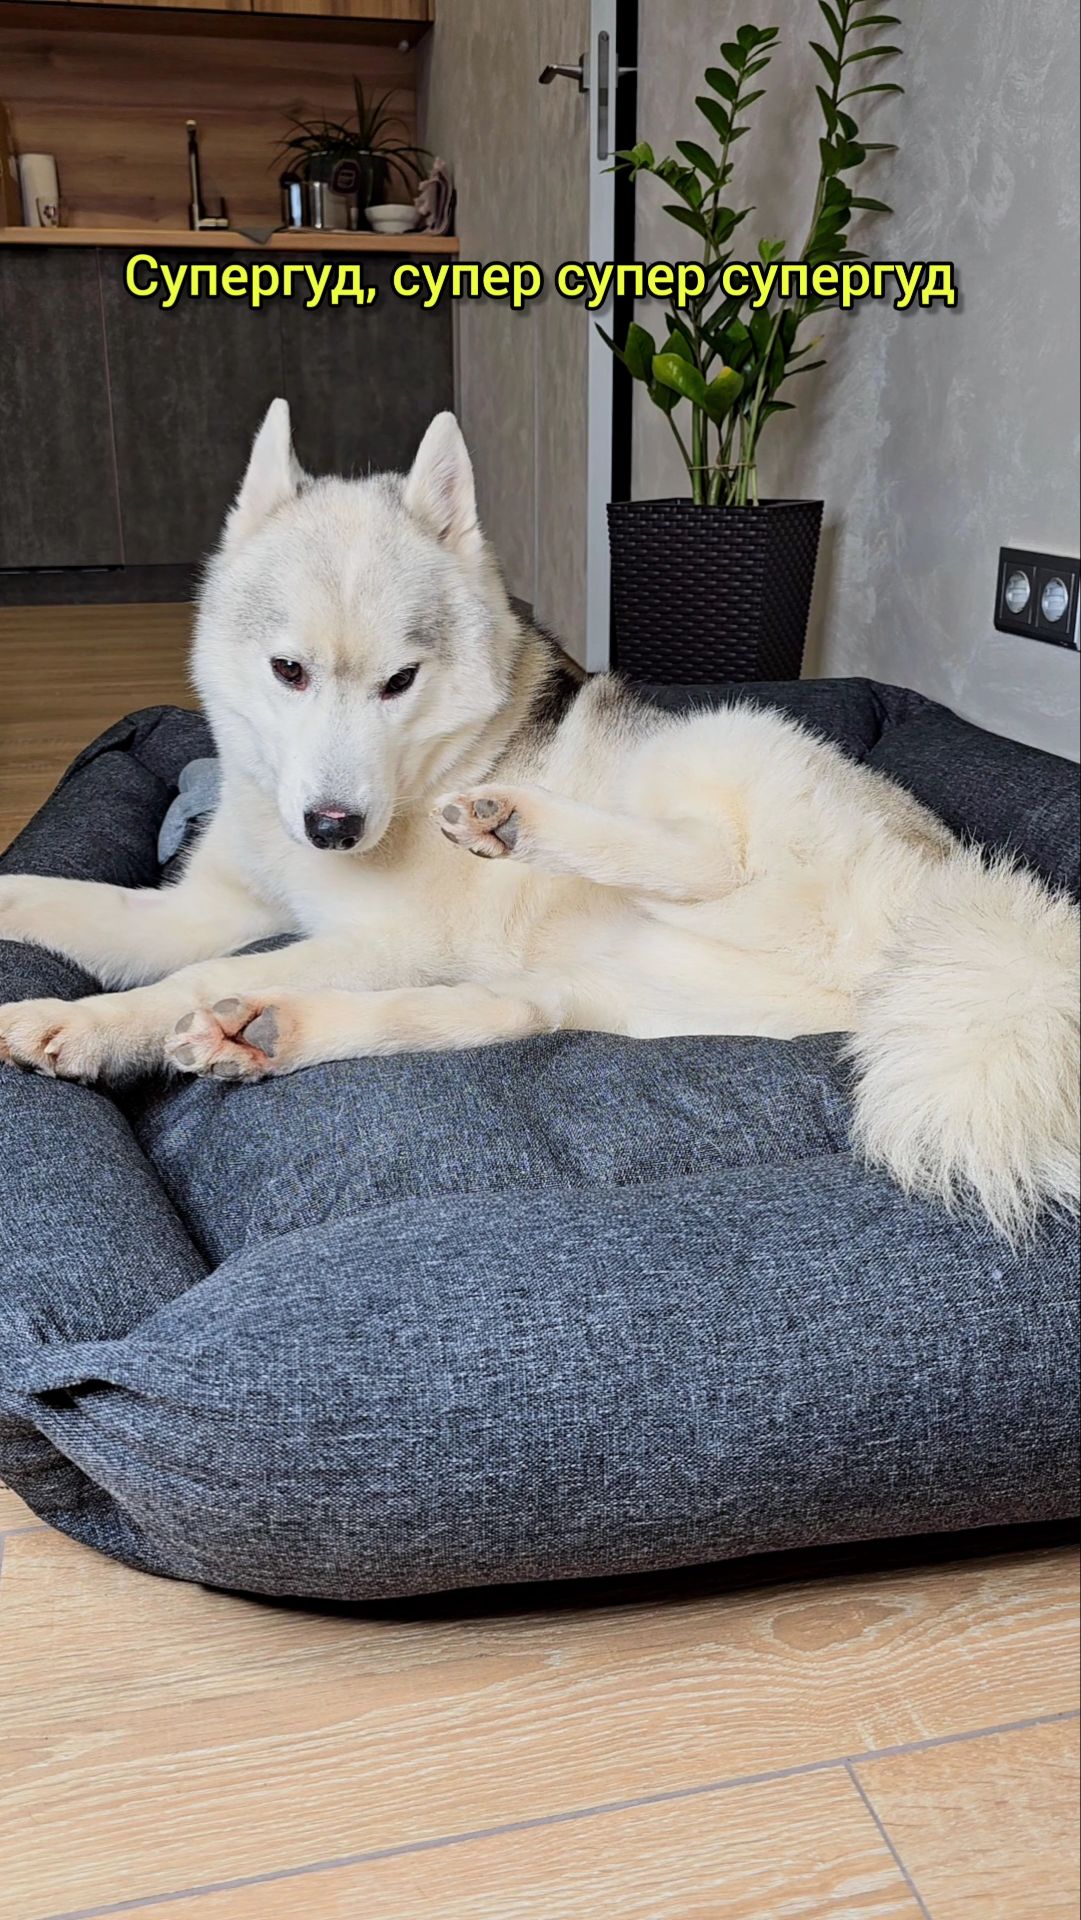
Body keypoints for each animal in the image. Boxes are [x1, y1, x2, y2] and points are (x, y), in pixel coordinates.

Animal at [1, 403, 1078, 1239]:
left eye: (399, 682)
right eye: (287, 670)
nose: (333, 828)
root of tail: (960, 897)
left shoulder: (383, 940)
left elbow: (197, 975)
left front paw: (99, 1021)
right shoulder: (199, 909)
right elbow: (76, 906)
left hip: (712, 754)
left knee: (707, 859)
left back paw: (512, 822)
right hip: (604, 997)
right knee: (485, 1013)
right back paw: (271, 1031)